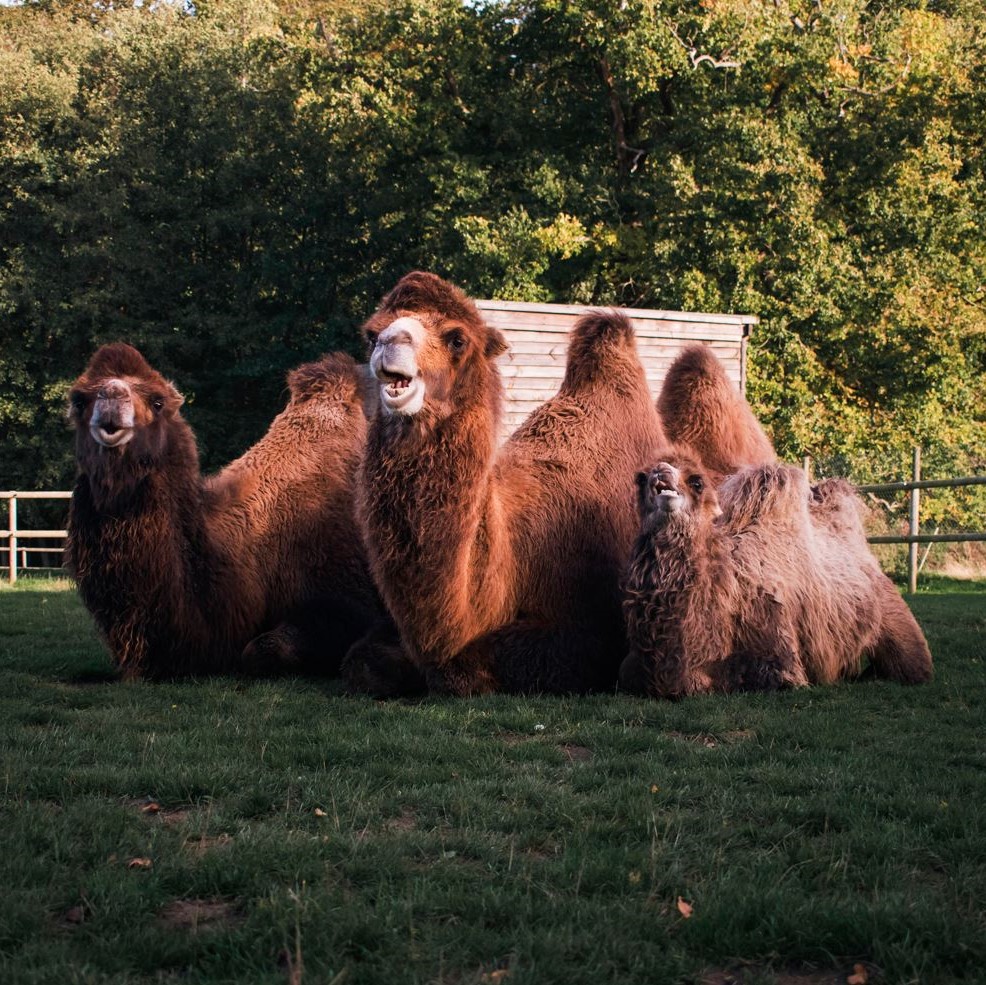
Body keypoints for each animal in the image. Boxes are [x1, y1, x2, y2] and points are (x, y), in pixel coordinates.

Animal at [347, 271, 667, 696]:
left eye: (457, 339)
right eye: (371, 334)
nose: (389, 342)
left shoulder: (585, 628)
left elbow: (469, 669)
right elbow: (361, 660)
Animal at [620, 454, 933, 698]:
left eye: (697, 482)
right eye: (640, 479)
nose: (661, 471)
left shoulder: (776, 639)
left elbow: (782, 679)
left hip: (892, 614)